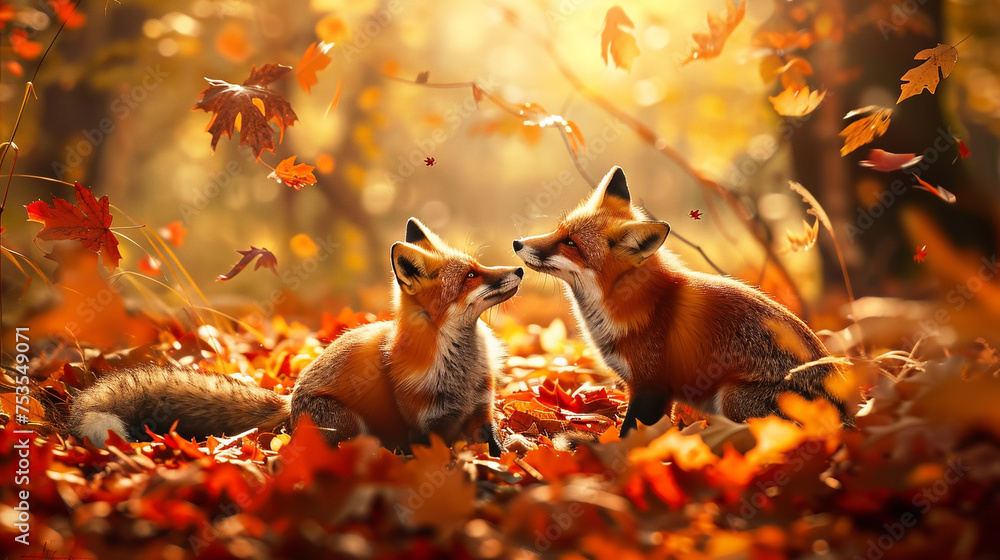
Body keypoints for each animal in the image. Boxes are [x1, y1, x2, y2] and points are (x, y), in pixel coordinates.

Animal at [70, 218, 521, 456]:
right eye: (471, 276)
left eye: (478, 266)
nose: (517, 269)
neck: (459, 370)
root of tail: (288, 402)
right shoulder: (424, 427)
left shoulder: (482, 408)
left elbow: (495, 446)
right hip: (348, 424)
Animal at [512, 166, 852, 436]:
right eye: (559, 230)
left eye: (571, 244)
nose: (517, 243)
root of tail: (848, 412)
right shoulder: (653, 391)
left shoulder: (652, 387)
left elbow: (632, 434)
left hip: (731, 397)